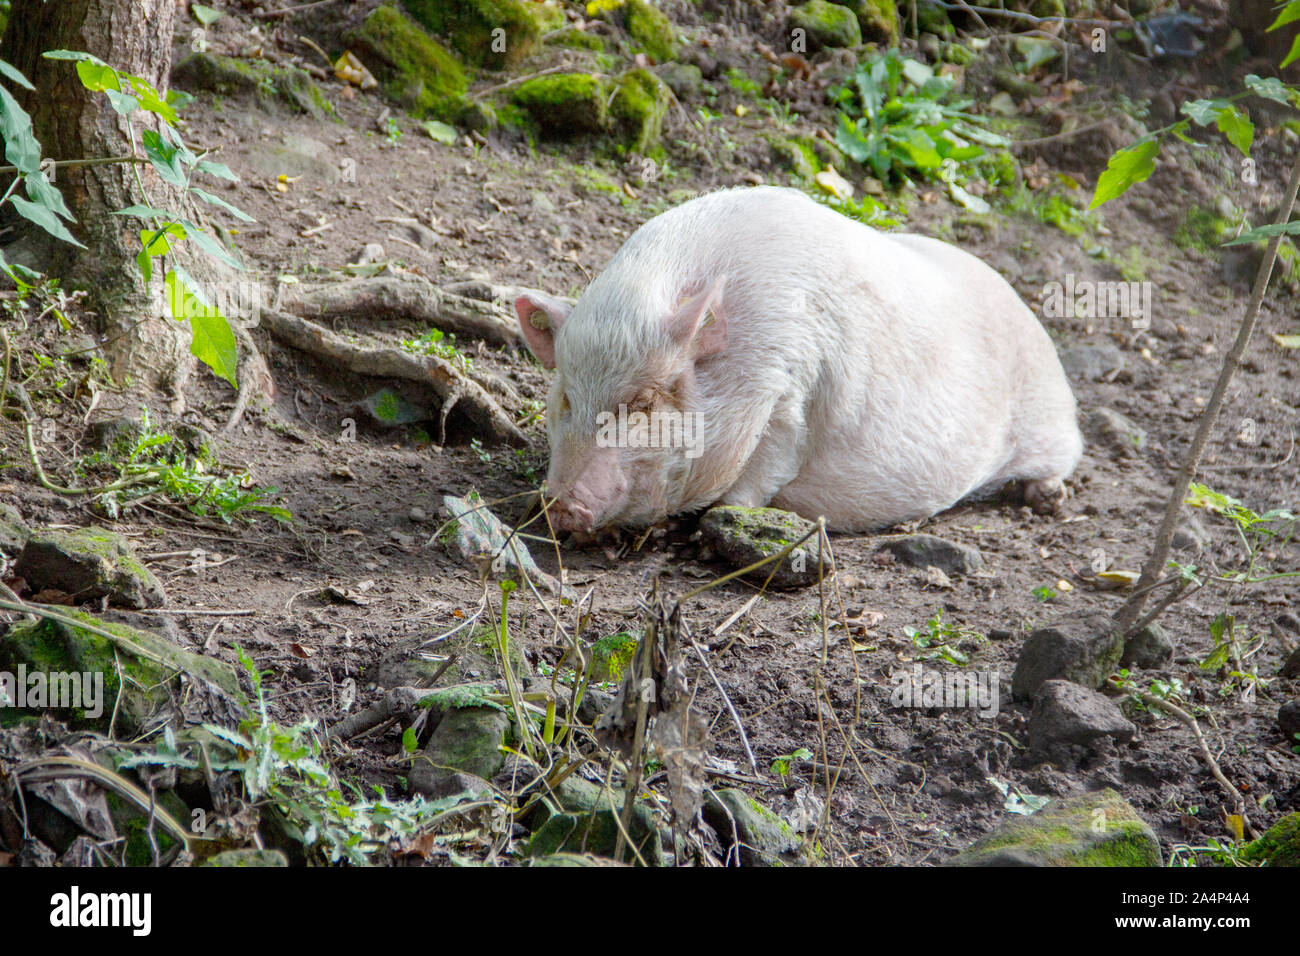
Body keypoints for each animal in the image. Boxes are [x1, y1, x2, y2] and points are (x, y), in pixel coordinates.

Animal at [514, 186, 1082, 534]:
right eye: (566, 399)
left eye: (645, 403)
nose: (561, 507)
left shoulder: (791, 394)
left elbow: (755, 480)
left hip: (1049, 418)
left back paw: (1047, 499)